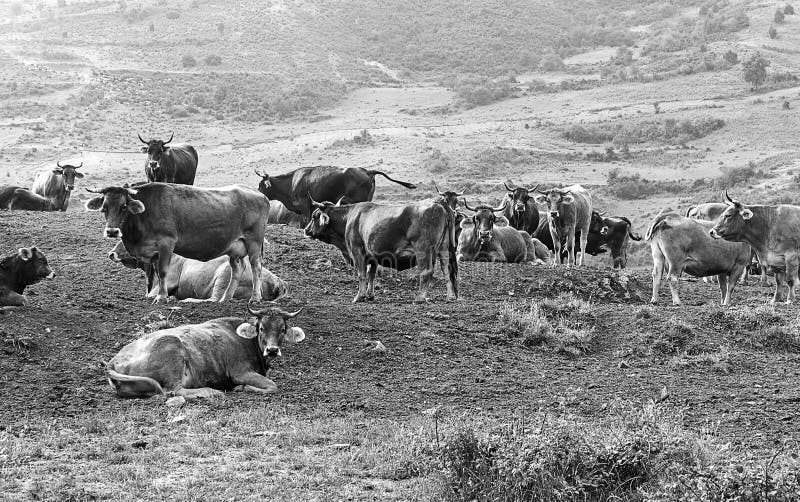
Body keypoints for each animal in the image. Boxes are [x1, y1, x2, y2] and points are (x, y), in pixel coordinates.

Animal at [85, 183, 269, 303]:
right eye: (104, 207)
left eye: (123, 206)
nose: (112, 231)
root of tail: (261, 195)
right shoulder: (154, 253)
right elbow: (157, 274)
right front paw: (160, 294)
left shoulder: (167, 243)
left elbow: (163, 271)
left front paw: (161, 297)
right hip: (234, 248)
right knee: (237, 269)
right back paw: (225, 298)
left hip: (254, 241)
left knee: (256, 267)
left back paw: (255, 298)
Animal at [106, 306, 306, 399]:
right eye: (262, 328)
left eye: (282, 329)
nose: (272, 350)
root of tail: (113, 361)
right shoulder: (240, 372)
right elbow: (273, 386)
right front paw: (242, 388)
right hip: (170, 345)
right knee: (176, 391)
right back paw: (212, 392)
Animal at [304, 197, 457, 303]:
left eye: (314, 216)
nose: (306, 230)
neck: (349, 218)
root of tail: (438, 202)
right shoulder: (372, 256)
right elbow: (371, 274)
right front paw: (370, 295)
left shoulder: (357, 251)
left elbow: (362, 274)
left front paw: (359, 296)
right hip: (444, 249)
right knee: (446, 271)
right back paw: (450, 297)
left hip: (423, 250)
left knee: (426, 272)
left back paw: (420, 298)